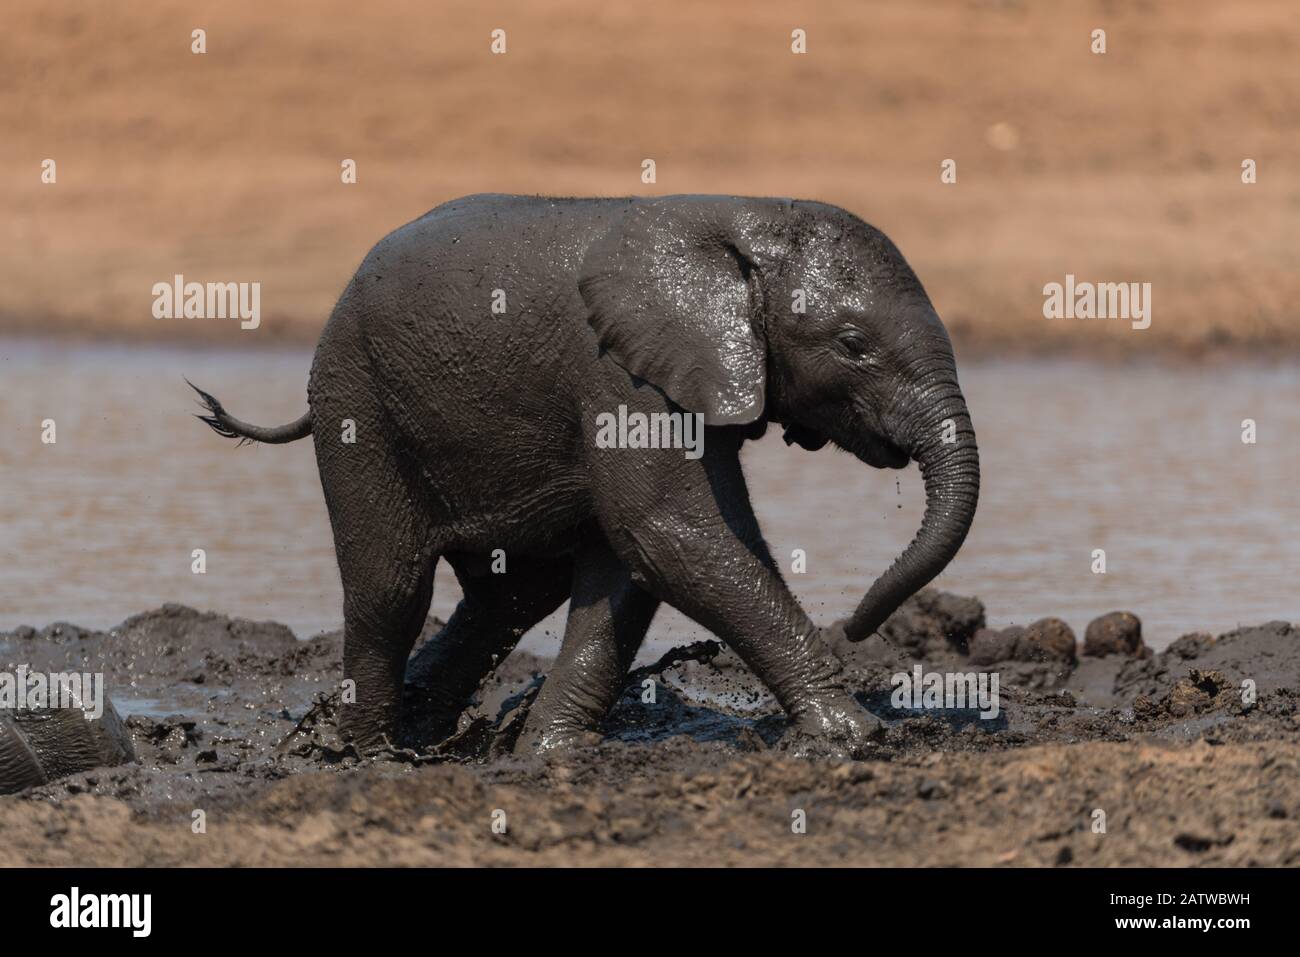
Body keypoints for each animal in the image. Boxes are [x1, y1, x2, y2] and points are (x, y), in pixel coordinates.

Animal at [191, 193, 979, 758]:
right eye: (852, 345)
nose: (860, 622)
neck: (740, 219)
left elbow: (627, 563)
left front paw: (552, 750)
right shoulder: (621, 374)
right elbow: (673, 533)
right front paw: (855, 735)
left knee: (511, 595)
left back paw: (423, 735)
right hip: (358, 400)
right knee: (391, 588)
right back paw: (365, 752)